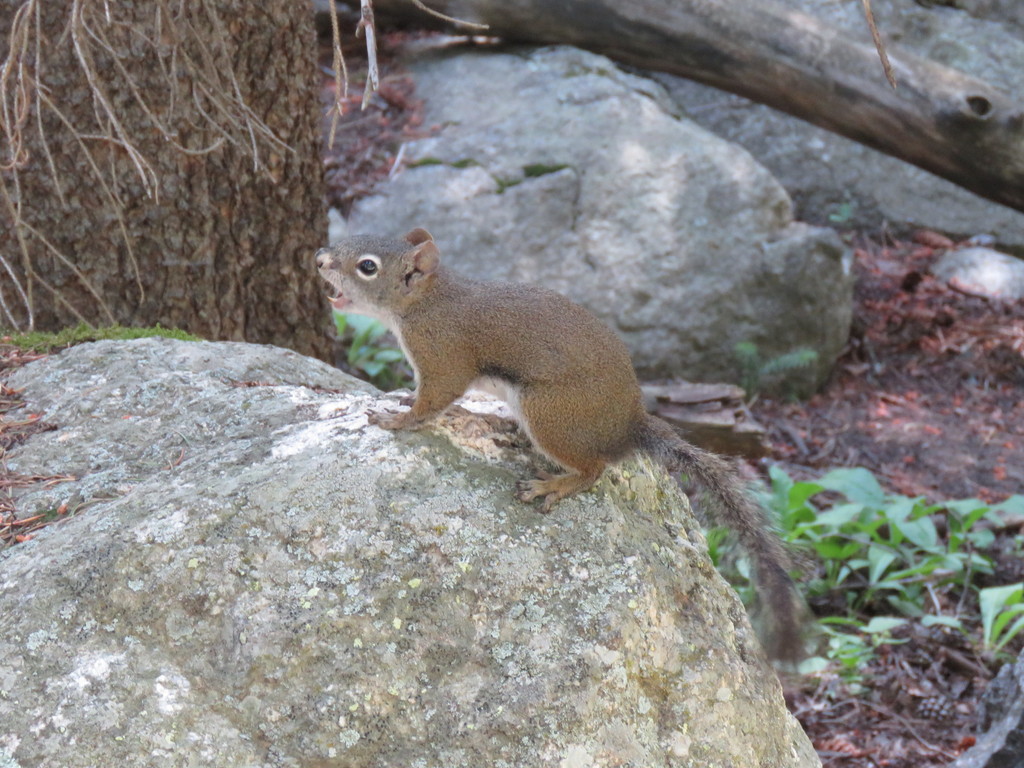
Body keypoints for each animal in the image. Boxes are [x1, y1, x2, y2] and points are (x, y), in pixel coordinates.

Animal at [316, 228, 802, 660]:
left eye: (367, 266)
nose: (320, 259)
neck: (426, 300)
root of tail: (627, 425)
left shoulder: (442, 353)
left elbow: (434, 398)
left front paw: (398, 419)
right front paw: (417, 405)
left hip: (549, 415)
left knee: (594, 470)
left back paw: (551, 485)